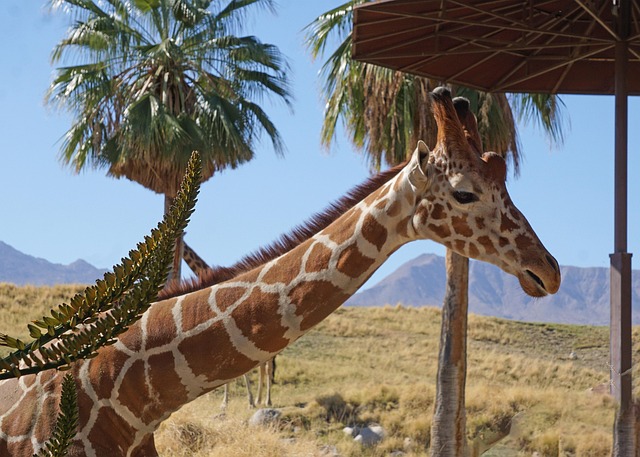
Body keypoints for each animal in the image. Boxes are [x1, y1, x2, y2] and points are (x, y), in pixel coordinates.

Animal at [181, 241, 276, 409]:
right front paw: (225, 402)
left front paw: (249, 402)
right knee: (263, 367)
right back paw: (260, 400)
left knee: (268, 366)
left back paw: (267, 401)